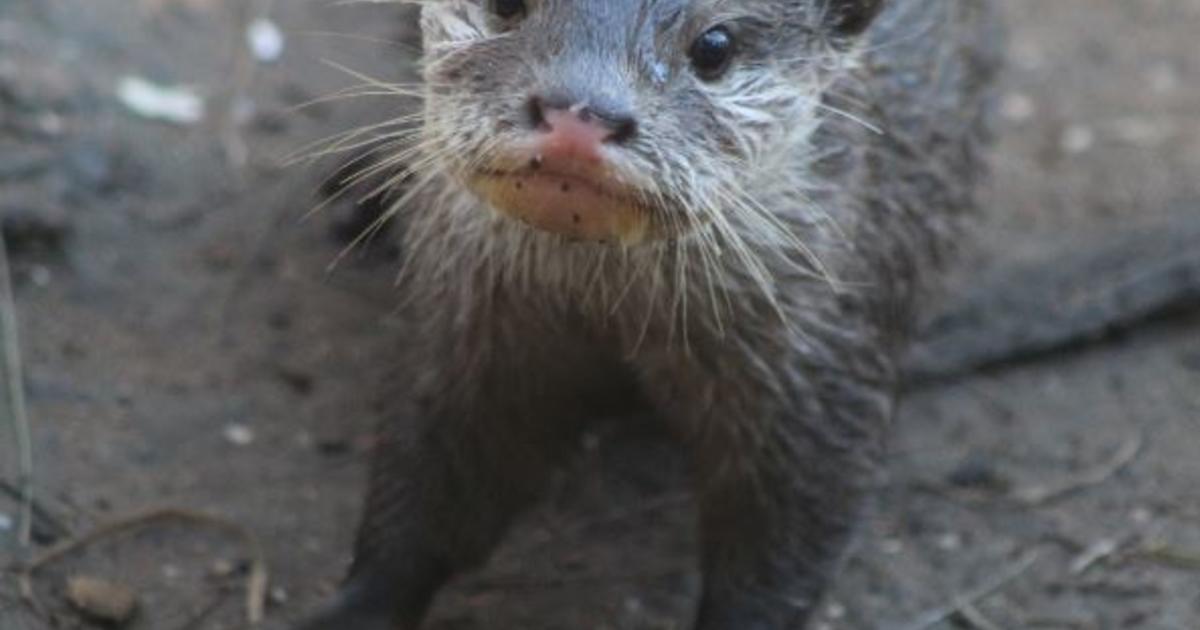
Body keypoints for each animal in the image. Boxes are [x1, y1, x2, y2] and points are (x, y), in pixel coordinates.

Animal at [299, 0, 1000, 628]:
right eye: (507, 2)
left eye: (714, 46)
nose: (580, 115)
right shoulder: (461, 330)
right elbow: (426, 482)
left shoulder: (823, 369)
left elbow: (787, 536)